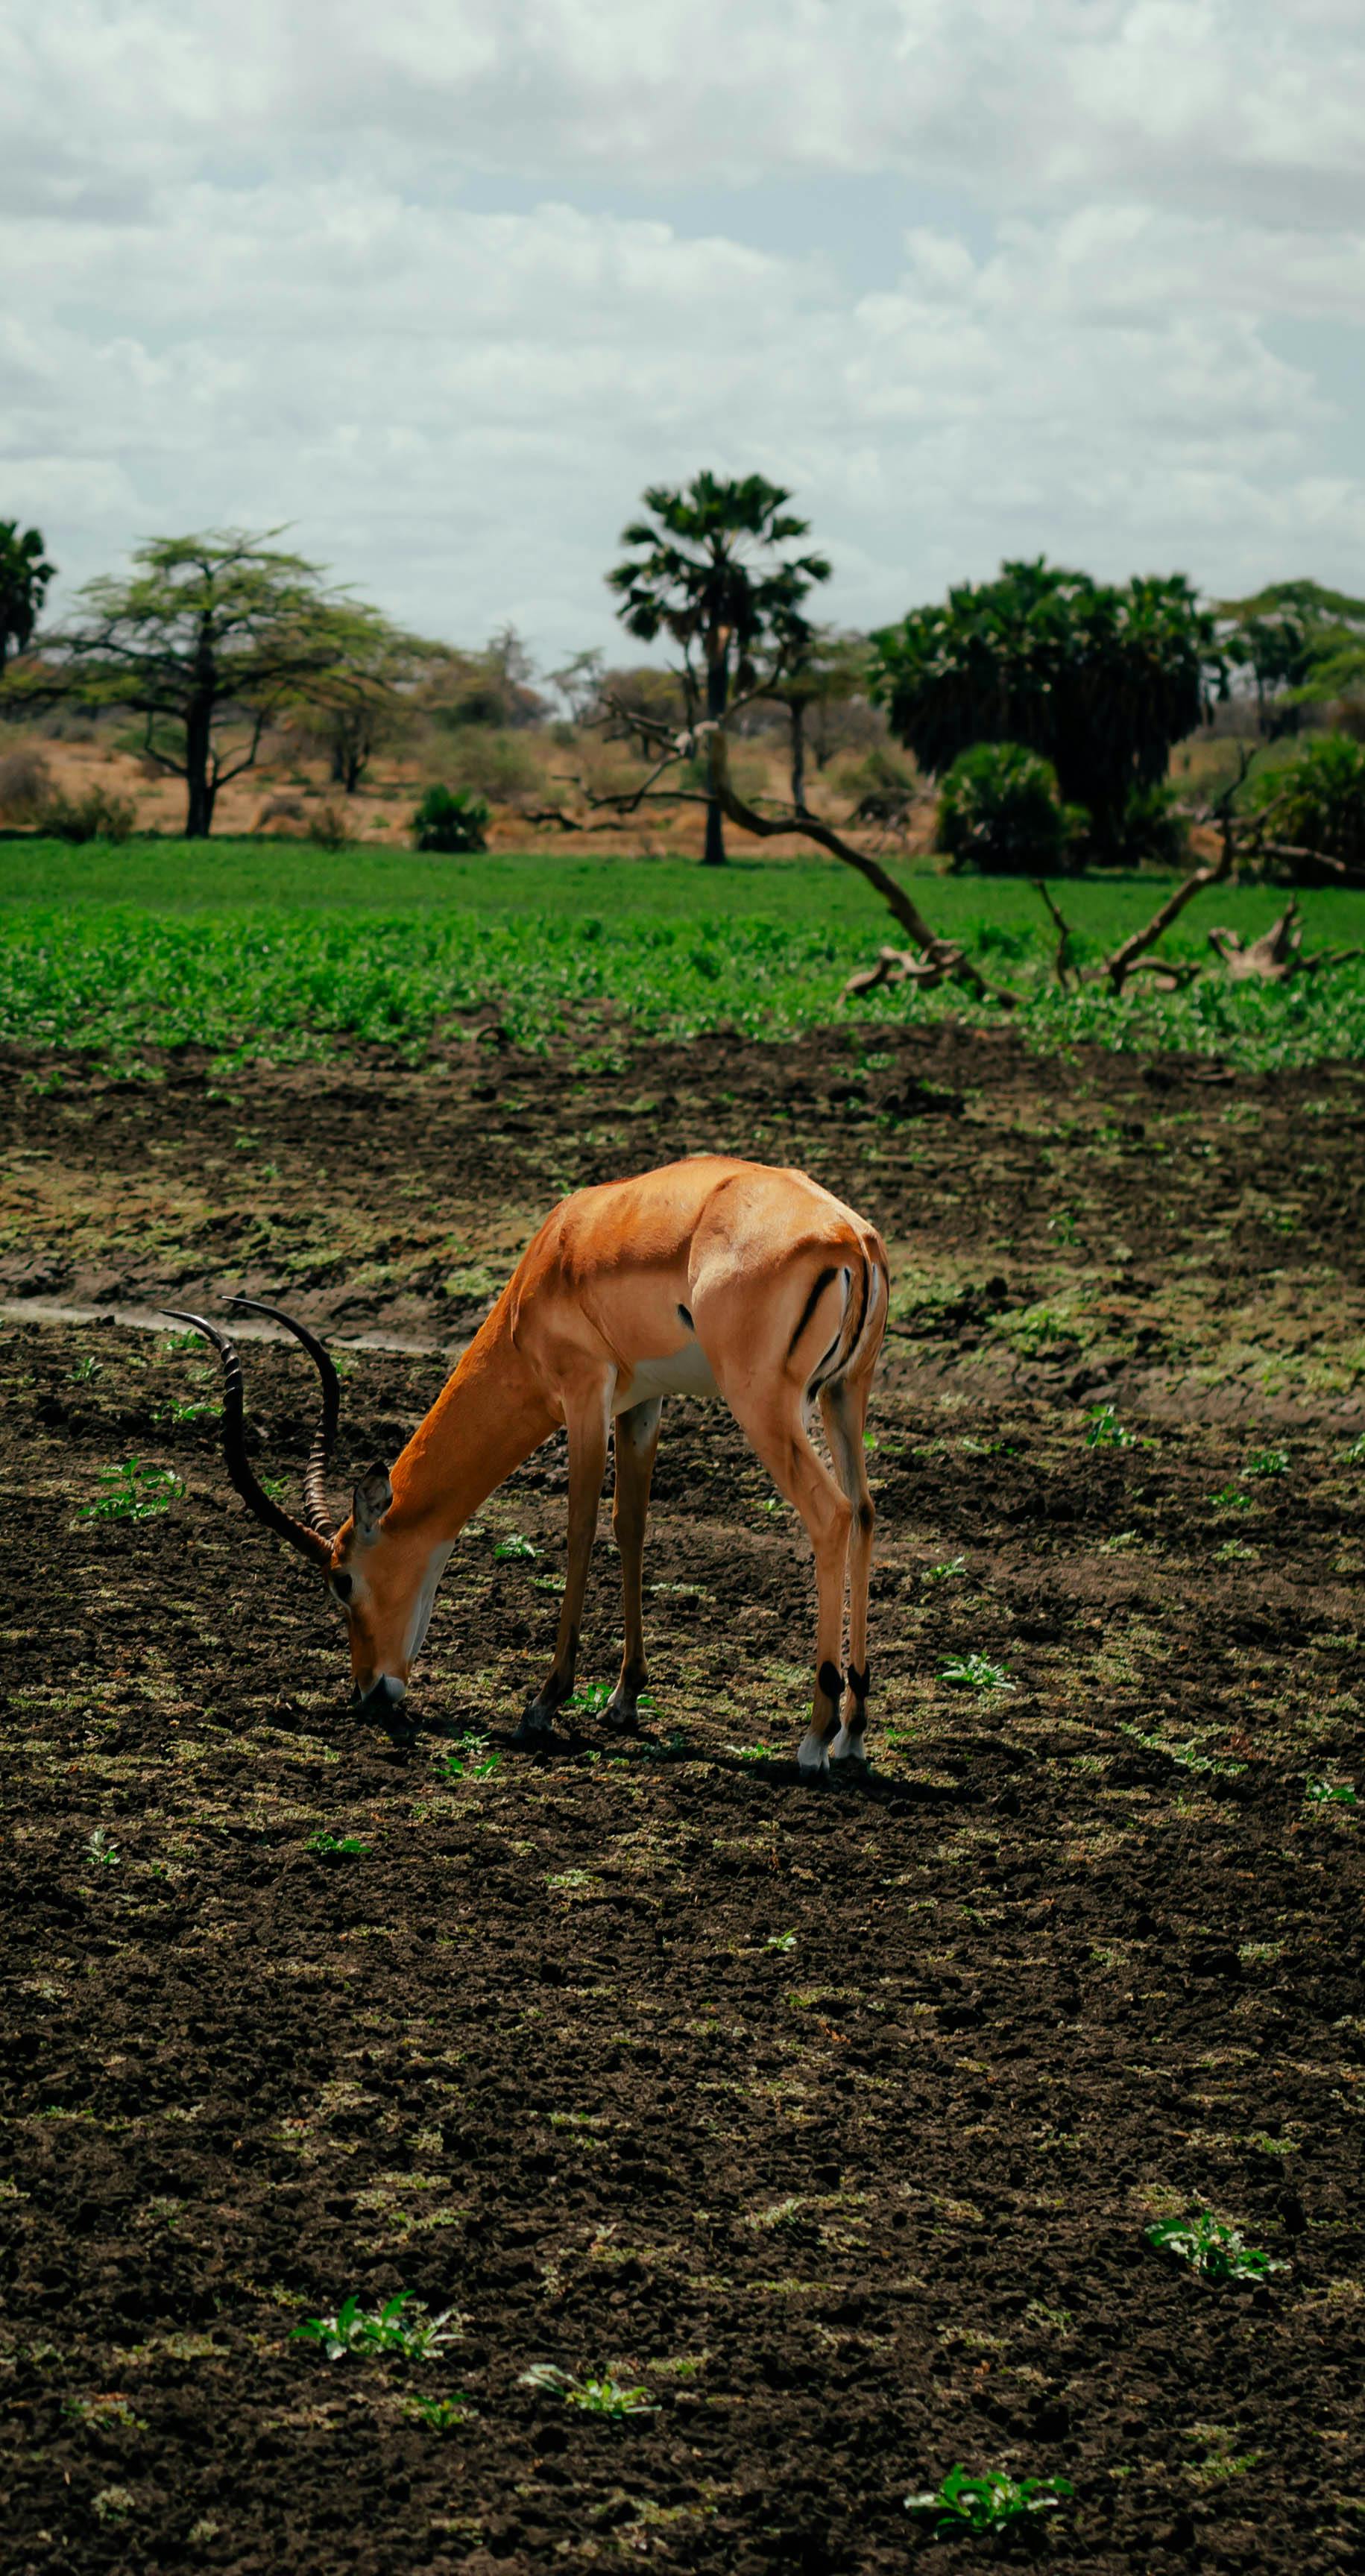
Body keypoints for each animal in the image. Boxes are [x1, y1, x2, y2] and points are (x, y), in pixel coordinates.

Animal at [169, 1156, 888, 1776]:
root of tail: (850, 1237)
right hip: (843, 1395)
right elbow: (630, 1527)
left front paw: (542, 1704)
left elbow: (579, 1533)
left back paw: (814, 1738)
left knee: (829, 1514)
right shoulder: (642, 1401)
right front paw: (623, 1699)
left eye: (342, 1581)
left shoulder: (583, 1392)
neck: (559, 1253)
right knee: (864, 1512)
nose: (369, 1691)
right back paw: (852, 1732)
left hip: (765, 1403)